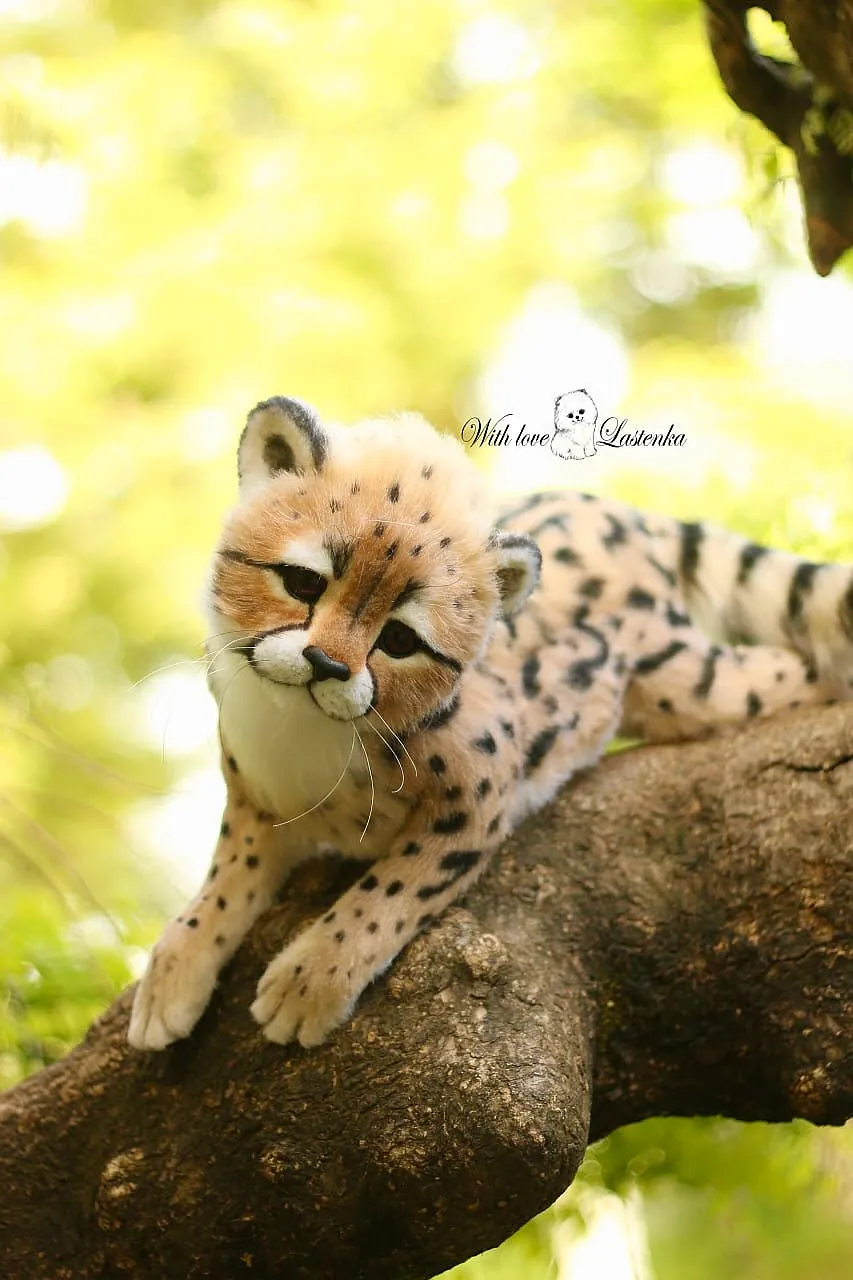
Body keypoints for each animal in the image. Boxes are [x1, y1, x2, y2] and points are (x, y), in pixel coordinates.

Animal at [128, 395, 853, 1051]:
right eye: (302, 582)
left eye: (399, 640)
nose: (325, 665)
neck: (300, 732)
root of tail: (616, 510)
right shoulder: (256, 794)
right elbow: (227, 874)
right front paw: (174, 971)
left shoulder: (480, 793)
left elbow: (394, 890)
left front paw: (311, 980)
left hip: (690, 682)